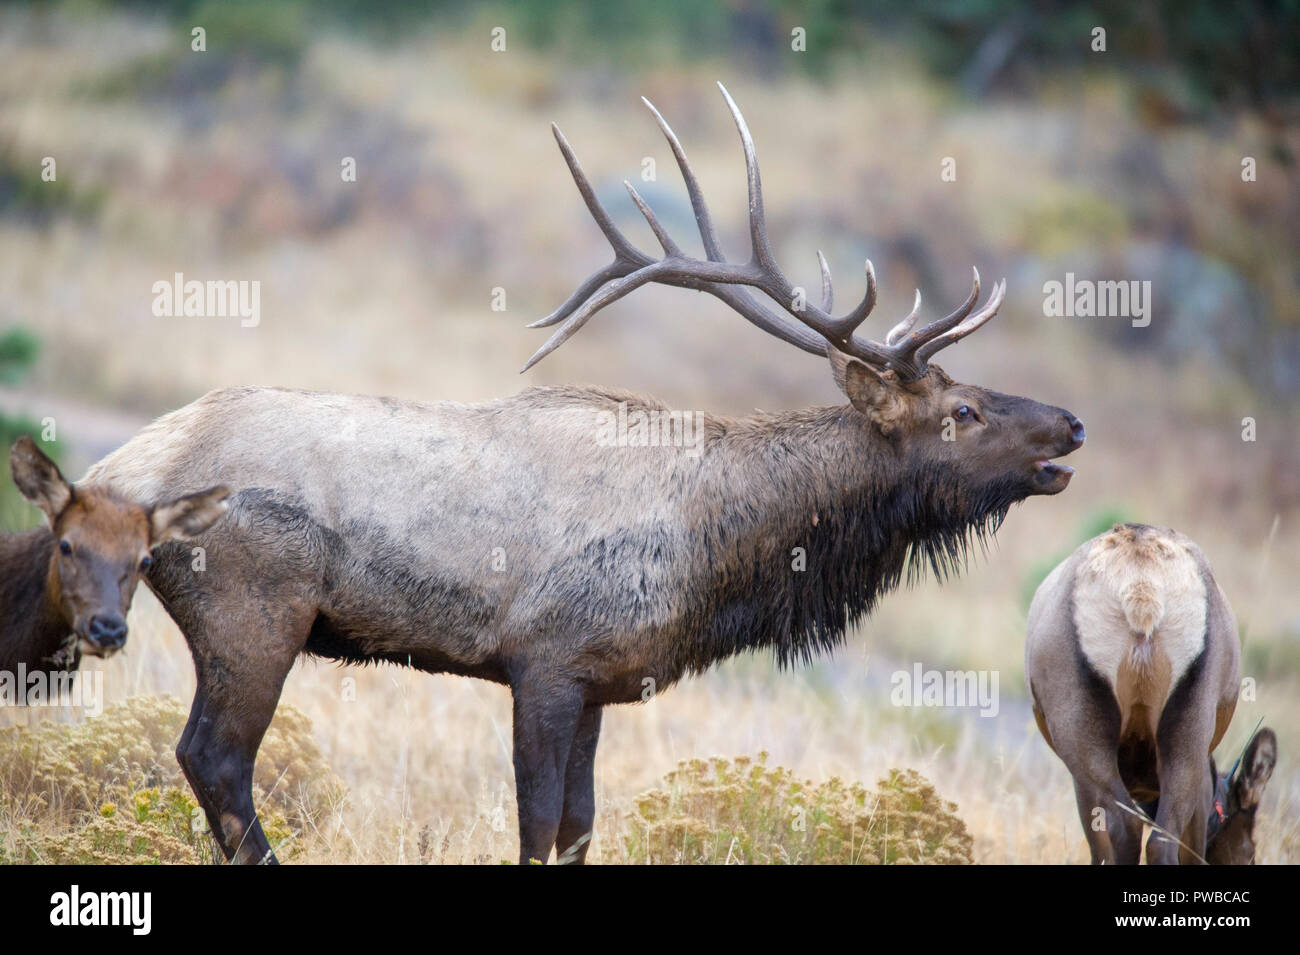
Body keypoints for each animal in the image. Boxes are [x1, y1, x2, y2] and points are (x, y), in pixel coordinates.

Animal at [84, 84, 1085, 865]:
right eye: (964, 411)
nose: (1072, 422)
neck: (712, 555)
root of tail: (118, 469)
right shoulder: (547, 662)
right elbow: (537, 826)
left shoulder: (604, 676)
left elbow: (580, 826)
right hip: (254, 610)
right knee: (215, 758)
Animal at [1026, 522, 1277, 864]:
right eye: (1250, 853)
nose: (1247, 856)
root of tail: (1142, 587)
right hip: (1184, 732)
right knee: (1152, 838)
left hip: (1094, 739)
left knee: (1136, 830)